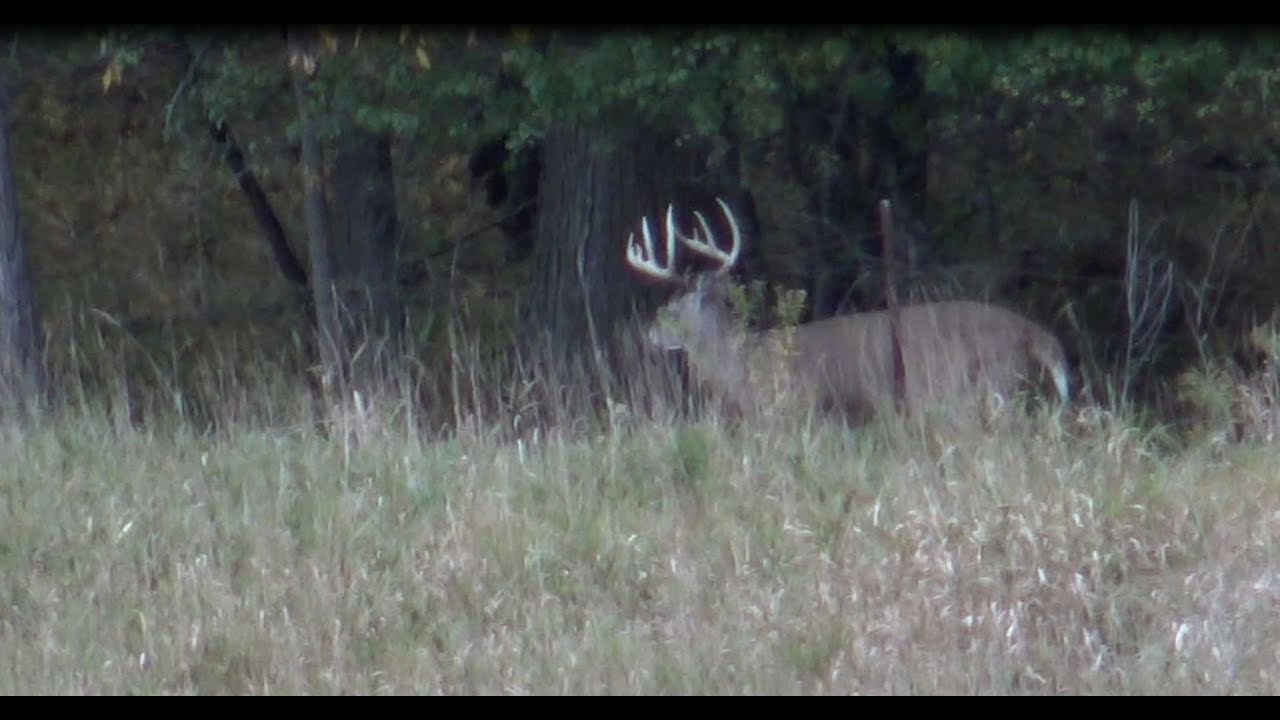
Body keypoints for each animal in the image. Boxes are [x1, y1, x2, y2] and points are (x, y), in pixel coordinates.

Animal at [625, 198, 1071, 424]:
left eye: (671, 308)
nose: (647, 333)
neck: (744, 365)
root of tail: (1036, 334)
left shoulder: (795, 410)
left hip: (975, 384)